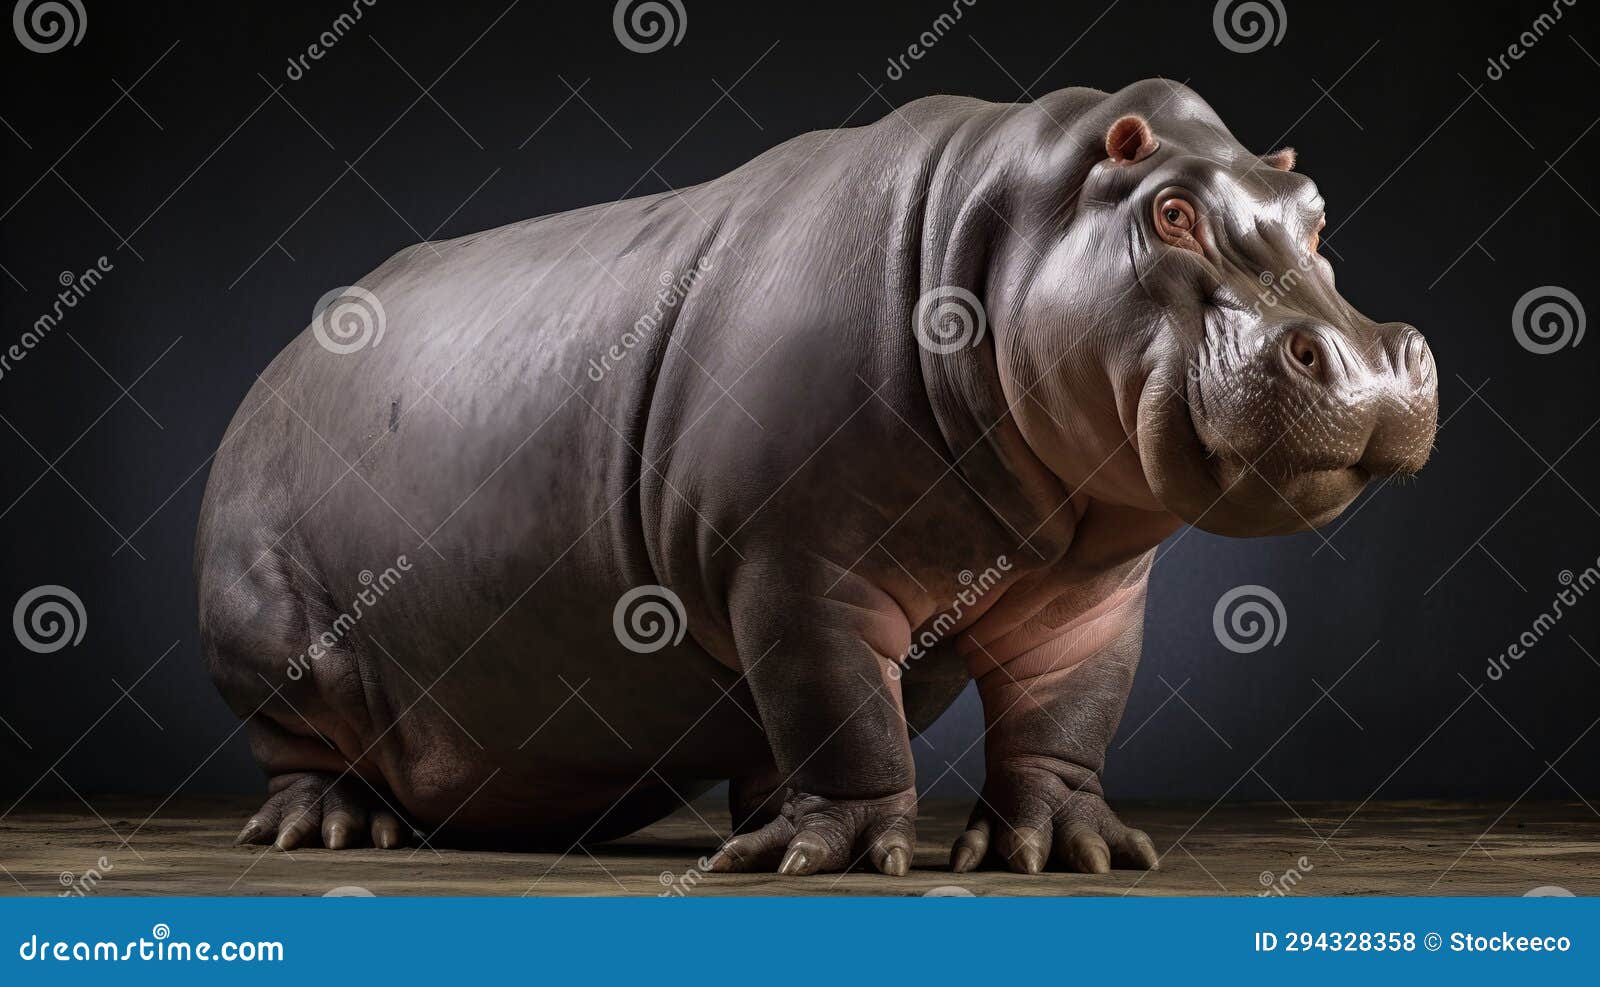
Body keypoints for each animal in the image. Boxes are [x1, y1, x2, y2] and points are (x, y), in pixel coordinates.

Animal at [196, 78, 1437, 876]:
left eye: (1315, 216)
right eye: (1170, 211)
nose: (1371, 359)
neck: (999, 229)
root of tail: (281, 357)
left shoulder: (1087, 602)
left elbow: (1063, 720)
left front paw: (1071, 849)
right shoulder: (797, 569)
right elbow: (843, 714)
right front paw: (828, 856)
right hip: (269, 640)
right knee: (299, 750)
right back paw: (332, 831)